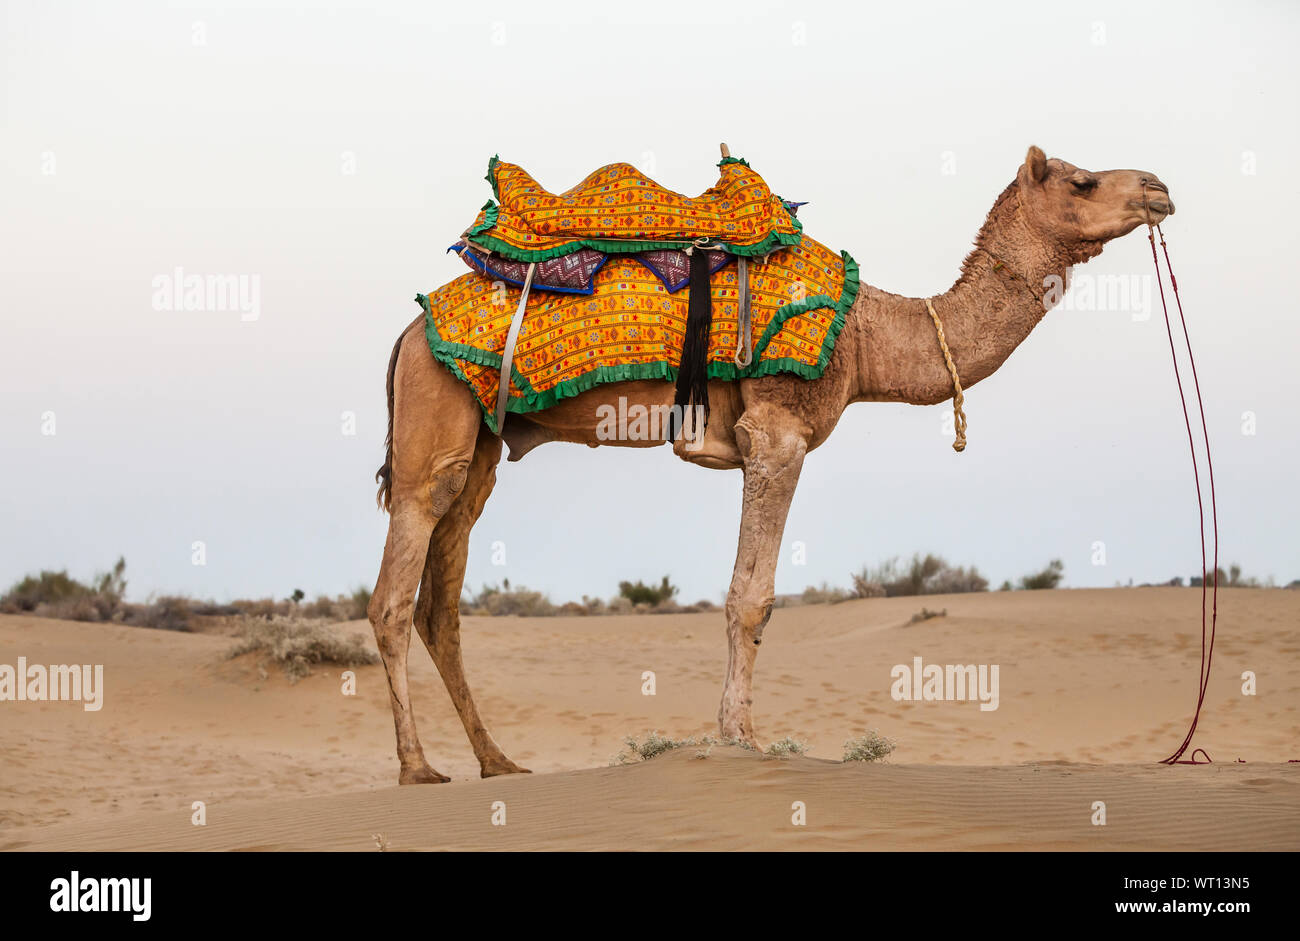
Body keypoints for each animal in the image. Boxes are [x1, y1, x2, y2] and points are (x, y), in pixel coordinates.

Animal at [367, 146, 1174, 783]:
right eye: (1083, 182)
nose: (1159, 187)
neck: (867, 335)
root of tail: (408, 332)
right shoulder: (777, 434)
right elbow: (749, 597)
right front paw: (739, 738)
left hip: (482, 442)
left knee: (444, 596)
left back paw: (496, 761)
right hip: (434, 417)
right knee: (395, 593)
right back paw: (416, 767)